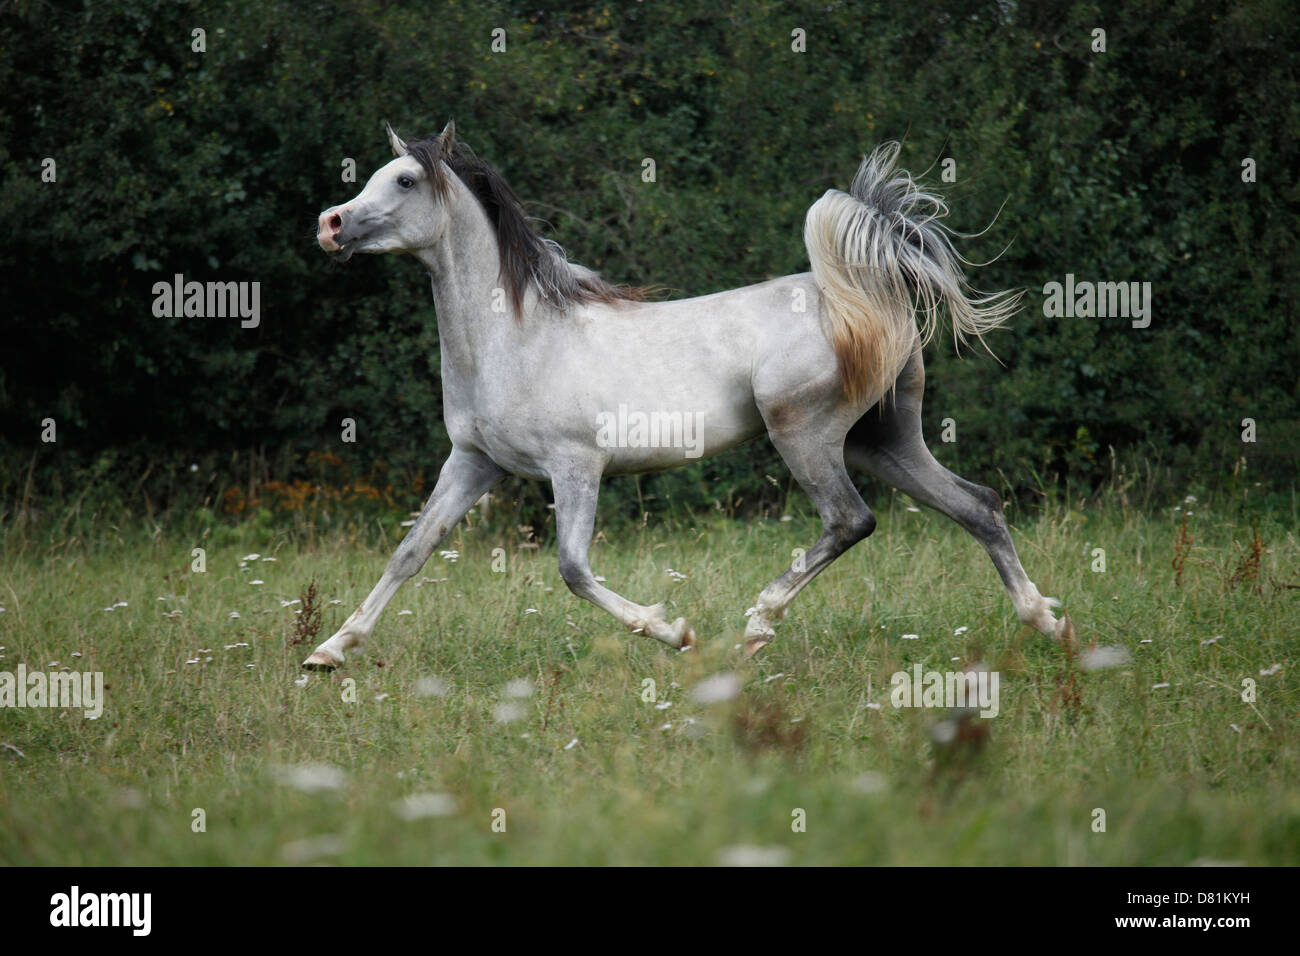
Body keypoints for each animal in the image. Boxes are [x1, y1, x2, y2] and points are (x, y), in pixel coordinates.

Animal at [305, 120, 1068, 670]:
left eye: (405, 179)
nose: (331, 225)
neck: (514, 337)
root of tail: (864, 300)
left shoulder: (575, 466)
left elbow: (573, 569)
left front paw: (673, 632)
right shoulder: (473, 462)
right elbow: (411, 551)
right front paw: (329, 652)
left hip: (806, 435)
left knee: (851, 520)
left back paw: (756, 626)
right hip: (883, 441)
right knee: (977, 505)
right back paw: (1047, 623)